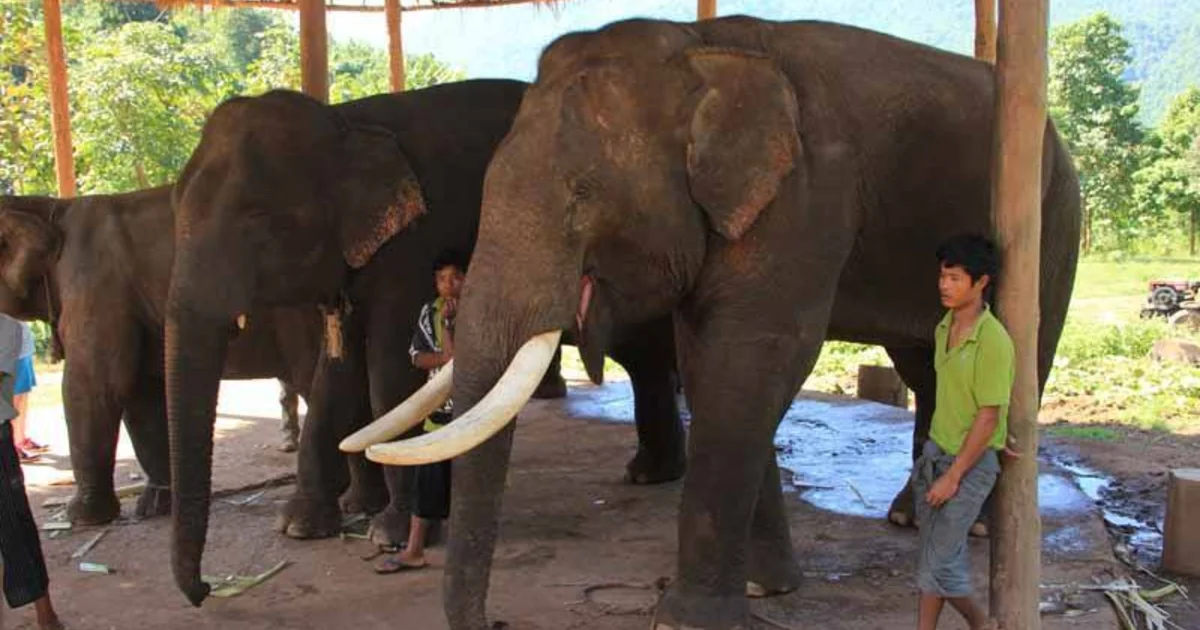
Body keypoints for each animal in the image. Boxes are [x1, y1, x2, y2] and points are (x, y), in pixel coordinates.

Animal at [0, 187, 322, 525]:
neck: (49, 208)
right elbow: (140, 394)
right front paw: (156, 506)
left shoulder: (95, 286)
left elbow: (94, 387)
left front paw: (80, 517)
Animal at [164, 80, 686, 607]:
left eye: (257, 216)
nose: (206, 591)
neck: (347, 121)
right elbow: (335, 374)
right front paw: (300, 527)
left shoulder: (413, 247)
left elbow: (390, 375)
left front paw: (388, 534)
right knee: (645, 357)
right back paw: (651, 472)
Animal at [361, 17, 1081, 630]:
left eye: (583, 196)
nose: (498, 620)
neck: (696, 48)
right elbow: (709, 365)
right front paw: (765, 588)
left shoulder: (803, 198)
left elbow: (754, 358)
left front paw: (687, 618)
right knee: (925, 364)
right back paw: (913, 514)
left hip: (1052, 218)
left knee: (1015, 357)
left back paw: (974, 527)